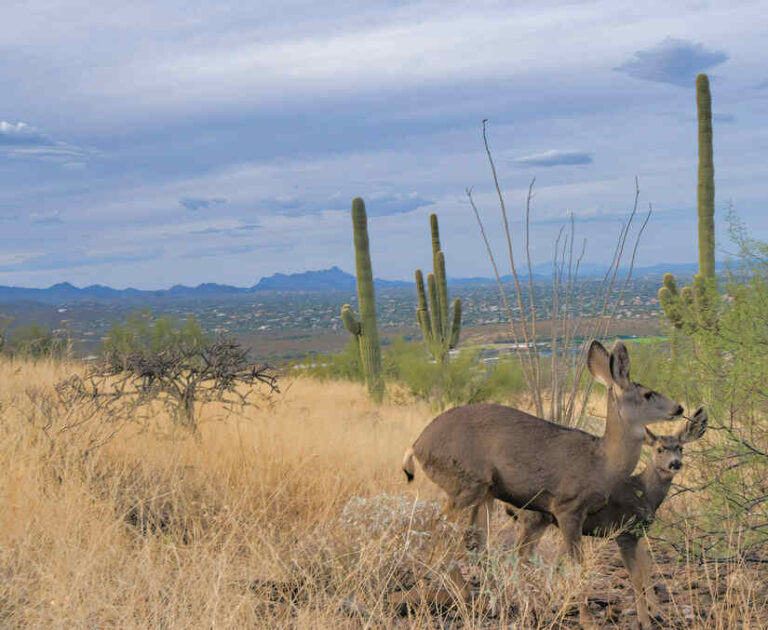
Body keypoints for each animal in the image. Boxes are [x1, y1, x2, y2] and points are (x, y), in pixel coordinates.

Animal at [401, 340, 685, 561]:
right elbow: (575, 563)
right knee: (436, 525)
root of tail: (416, 446)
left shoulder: (550, 514)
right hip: (466, 483)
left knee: (473, 539)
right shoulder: (567, 507)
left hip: (484, 492)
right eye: (648, 394)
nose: (679, 407)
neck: (602, 462)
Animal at [509, 407, 708, 630]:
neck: (643, 493)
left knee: (528, 559)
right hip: (534, 519)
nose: (675, 463)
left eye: (680, 448)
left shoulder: (638, 532)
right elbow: (635, 574)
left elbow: (647, 568)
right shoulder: (623, 532)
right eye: (659, 449)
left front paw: (657, 614)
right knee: (518, 557)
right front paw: (644, 621)